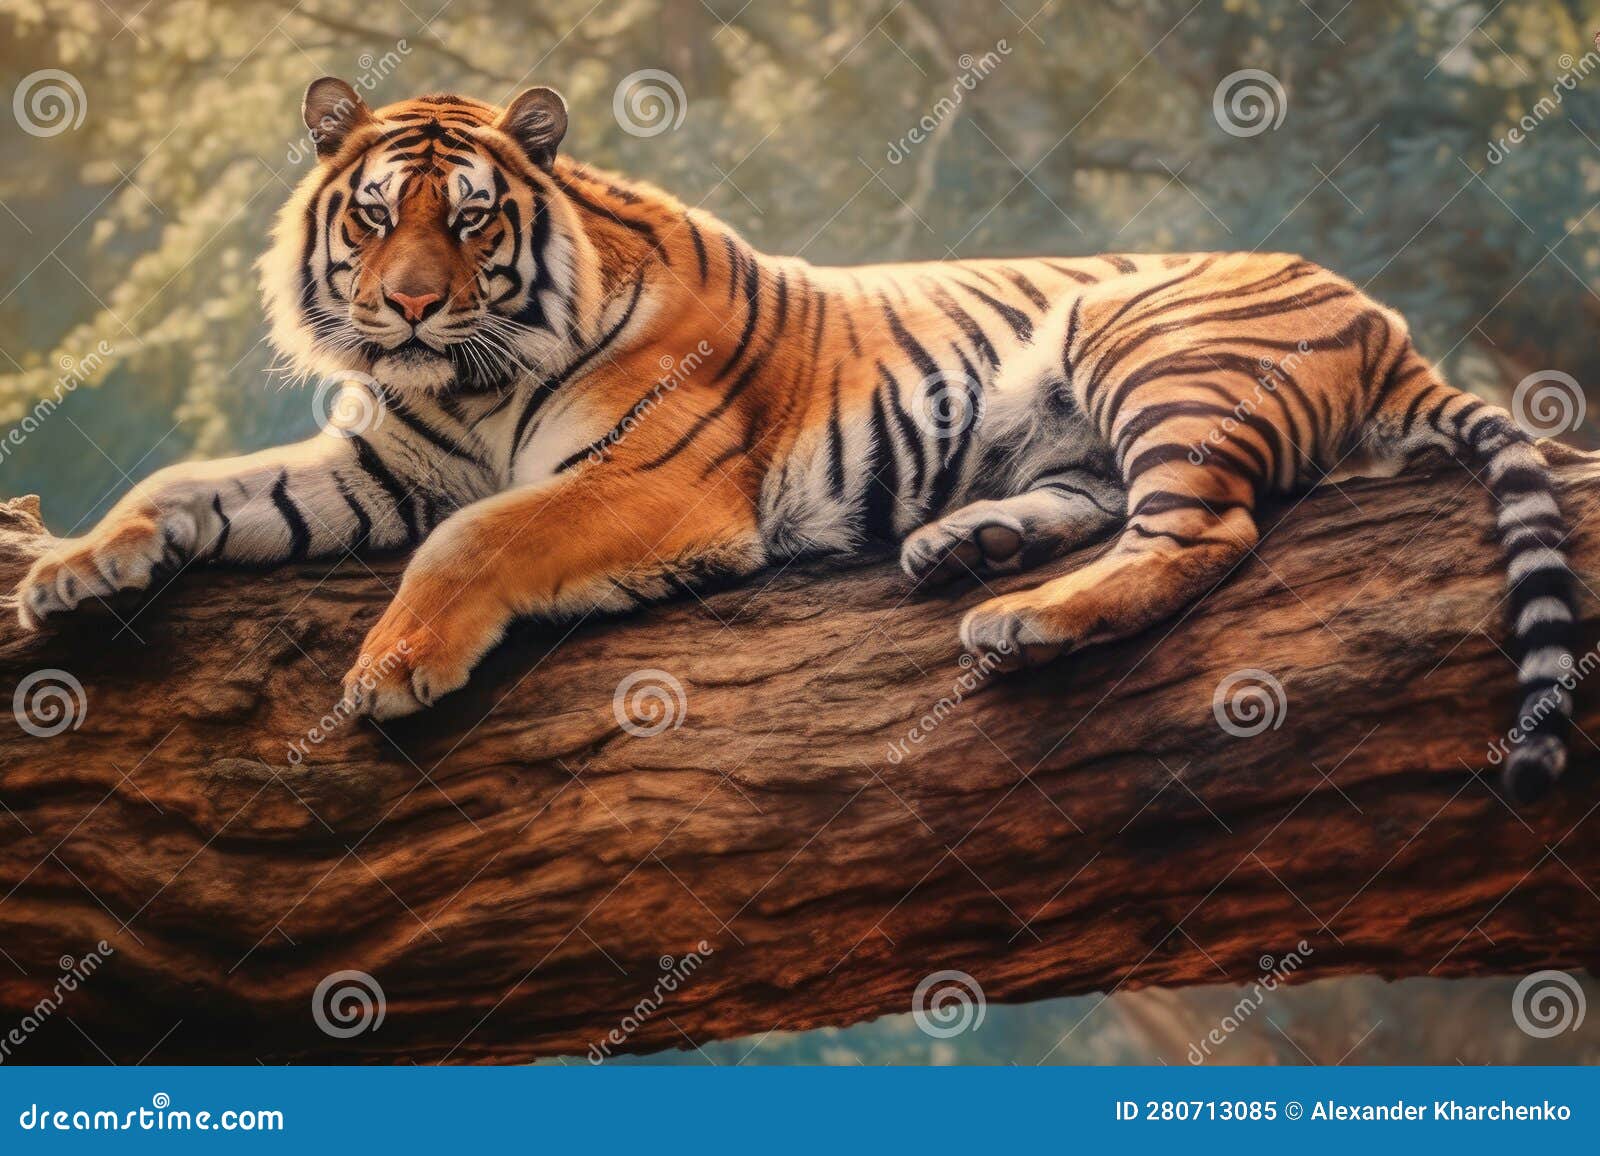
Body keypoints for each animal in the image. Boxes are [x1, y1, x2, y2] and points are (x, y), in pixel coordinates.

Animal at [12, 78, 1578, 804]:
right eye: (374, 213)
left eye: (467, 220)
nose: (402, 306)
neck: (461, 382)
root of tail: (1383, 313)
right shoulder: (379, 464)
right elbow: (190, 485)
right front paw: (74, 569)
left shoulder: (651, 482)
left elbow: (483, 533)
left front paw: (395, 666)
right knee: (1110, 503)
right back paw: (967, 547)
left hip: (1143, 332)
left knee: (1206, 530)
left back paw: (1024, 622)